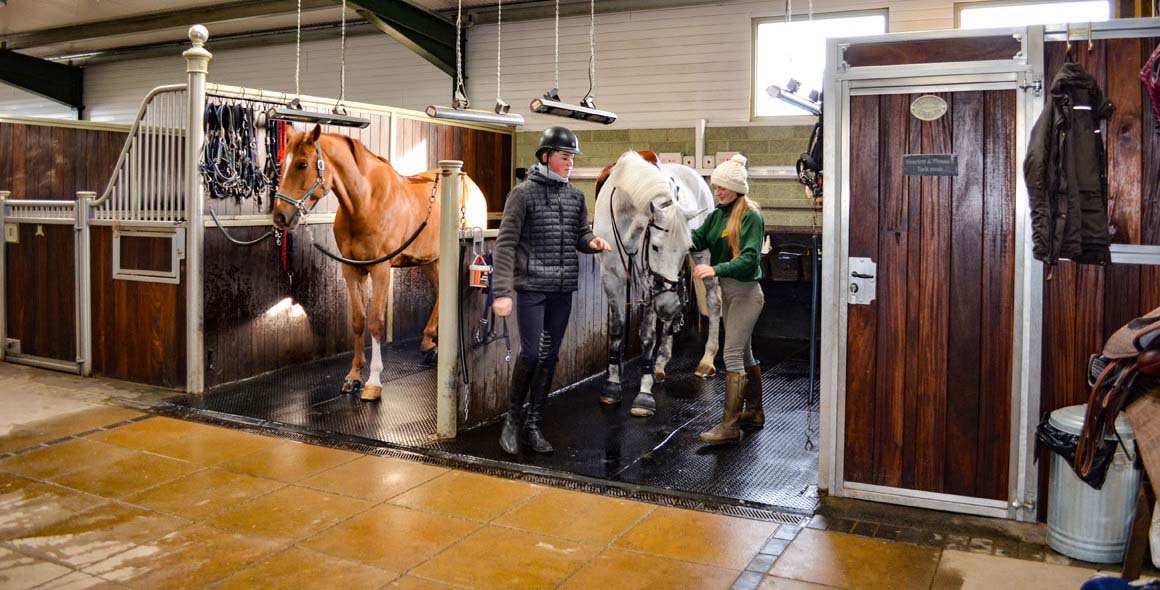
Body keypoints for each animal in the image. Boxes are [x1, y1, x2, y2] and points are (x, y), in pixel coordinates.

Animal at [272, 123, 488, 401]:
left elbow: (375, 322)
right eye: (282, 164)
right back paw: (430, 343)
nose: (280, 216)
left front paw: (373, 382)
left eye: (302, 164)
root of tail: (469, 183)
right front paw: (353, 376)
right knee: (440, 293)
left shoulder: (381, 269)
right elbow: (358, 320)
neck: (365, 203)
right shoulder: (351, 269)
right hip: (432, 260)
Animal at [592, 151, 712, 417]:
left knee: (715, 301)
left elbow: (647, 336)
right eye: (656, 246)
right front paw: (612, 385)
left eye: (685, 249)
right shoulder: (611, 276)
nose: (667, 306)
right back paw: (660, 363)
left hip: (703, 259)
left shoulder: (649, 285)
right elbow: (617, 328)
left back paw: (707, 360)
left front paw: (644, 396)